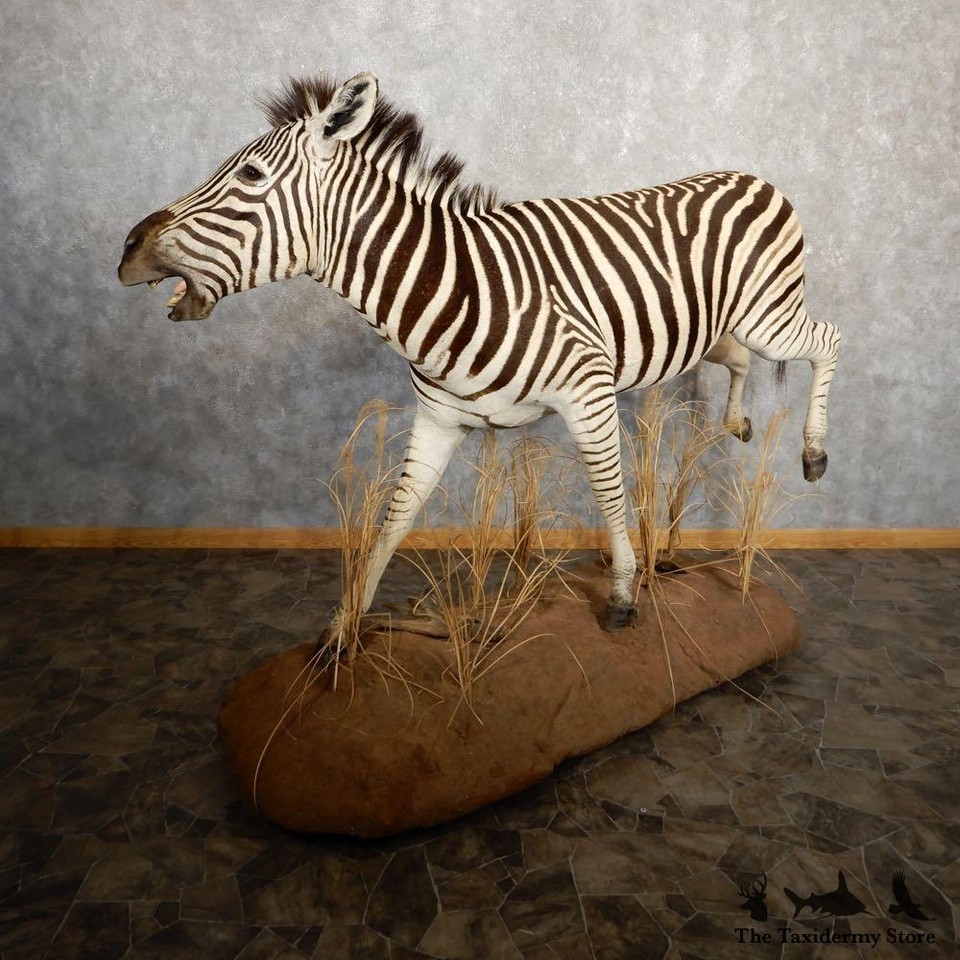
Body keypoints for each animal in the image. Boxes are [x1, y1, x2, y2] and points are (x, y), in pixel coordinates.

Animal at [119, 71, 841, 630]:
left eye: (250, 174)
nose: (128, 249)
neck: (452, 286)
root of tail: (755, 177)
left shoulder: (588, 392)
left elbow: (610, 493)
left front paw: (623, 595)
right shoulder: (438, 420)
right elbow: (394, 517)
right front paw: (344, 630)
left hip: (770, 315)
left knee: (826, 341)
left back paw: (812, 453)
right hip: (713, 329)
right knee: (740, 360)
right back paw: (738, 421)